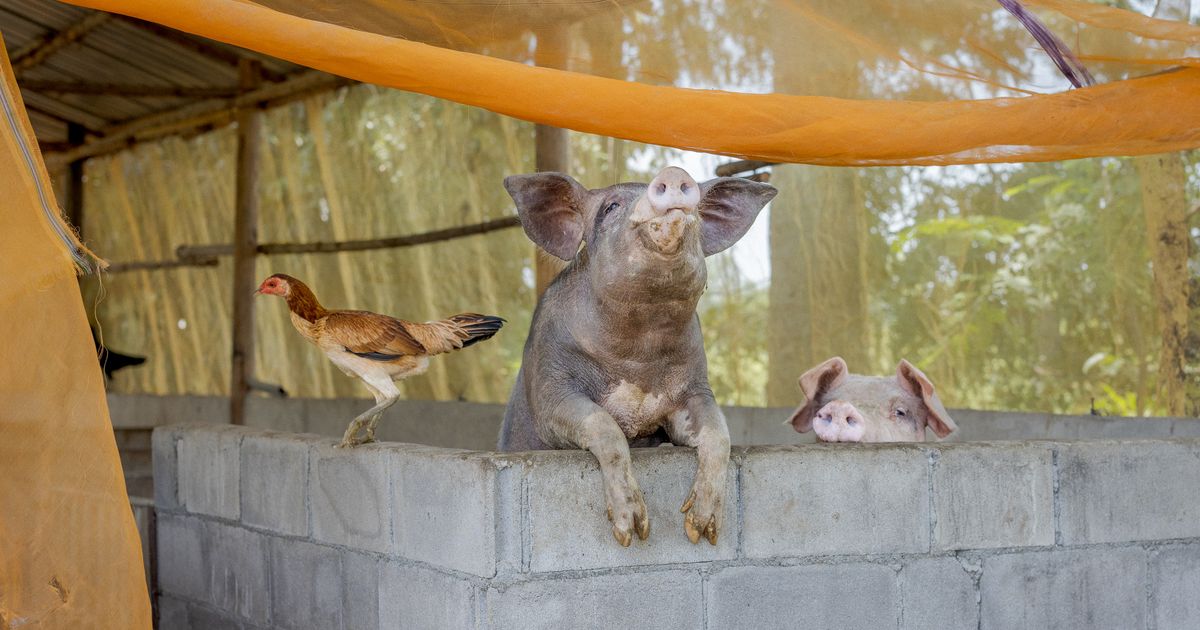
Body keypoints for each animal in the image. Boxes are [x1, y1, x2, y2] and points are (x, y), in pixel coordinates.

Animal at [499, 166, 777, 547]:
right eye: (610, 207)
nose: (673, 173)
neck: (638, 351)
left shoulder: (696, 388)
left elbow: (719, 432)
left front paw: (699, 529)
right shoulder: (550, 384)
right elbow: (604, 424)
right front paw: (632, 531)